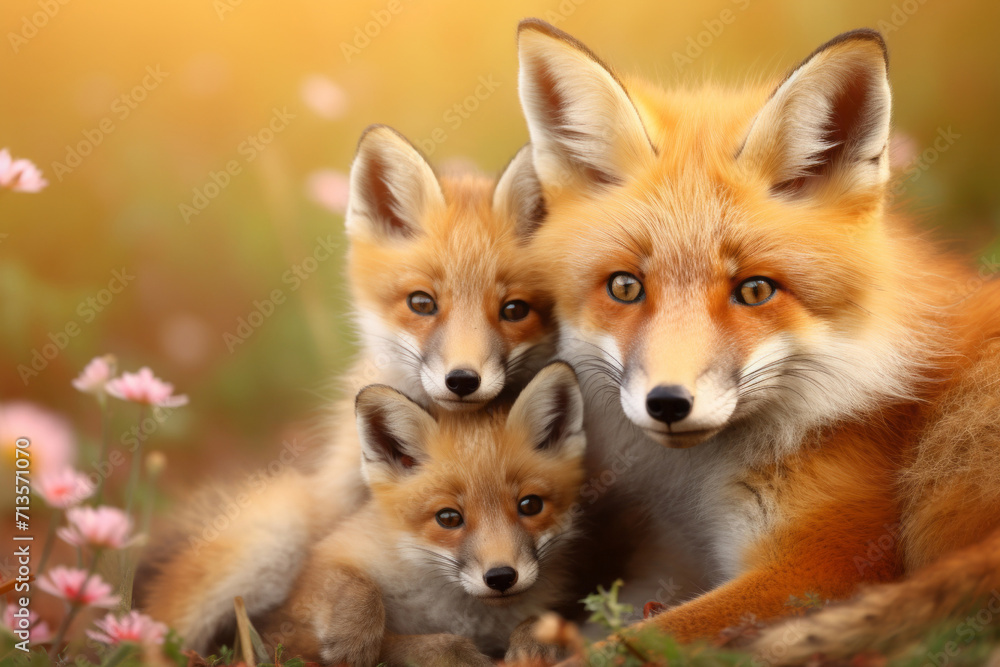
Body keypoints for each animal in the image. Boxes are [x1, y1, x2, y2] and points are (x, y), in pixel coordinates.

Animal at [138, 125, 555, 652]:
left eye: (515, 309)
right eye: (422, 303)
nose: (462, 380)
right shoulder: (341, 518)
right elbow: (346, 583)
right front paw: (355, 636)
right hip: (277, 530)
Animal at [258, 362, 586, 666]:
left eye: (530, 505)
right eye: (448, 518)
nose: (501, 577)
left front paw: (537, 643)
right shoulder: (291, 620)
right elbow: (356, 587)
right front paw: (353, 638)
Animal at [513, 18, 1000, 648]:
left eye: (755, 290)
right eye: (624, 287)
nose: (667, 403)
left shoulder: (819, 563)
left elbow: (634, 643)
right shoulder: (675, 563)